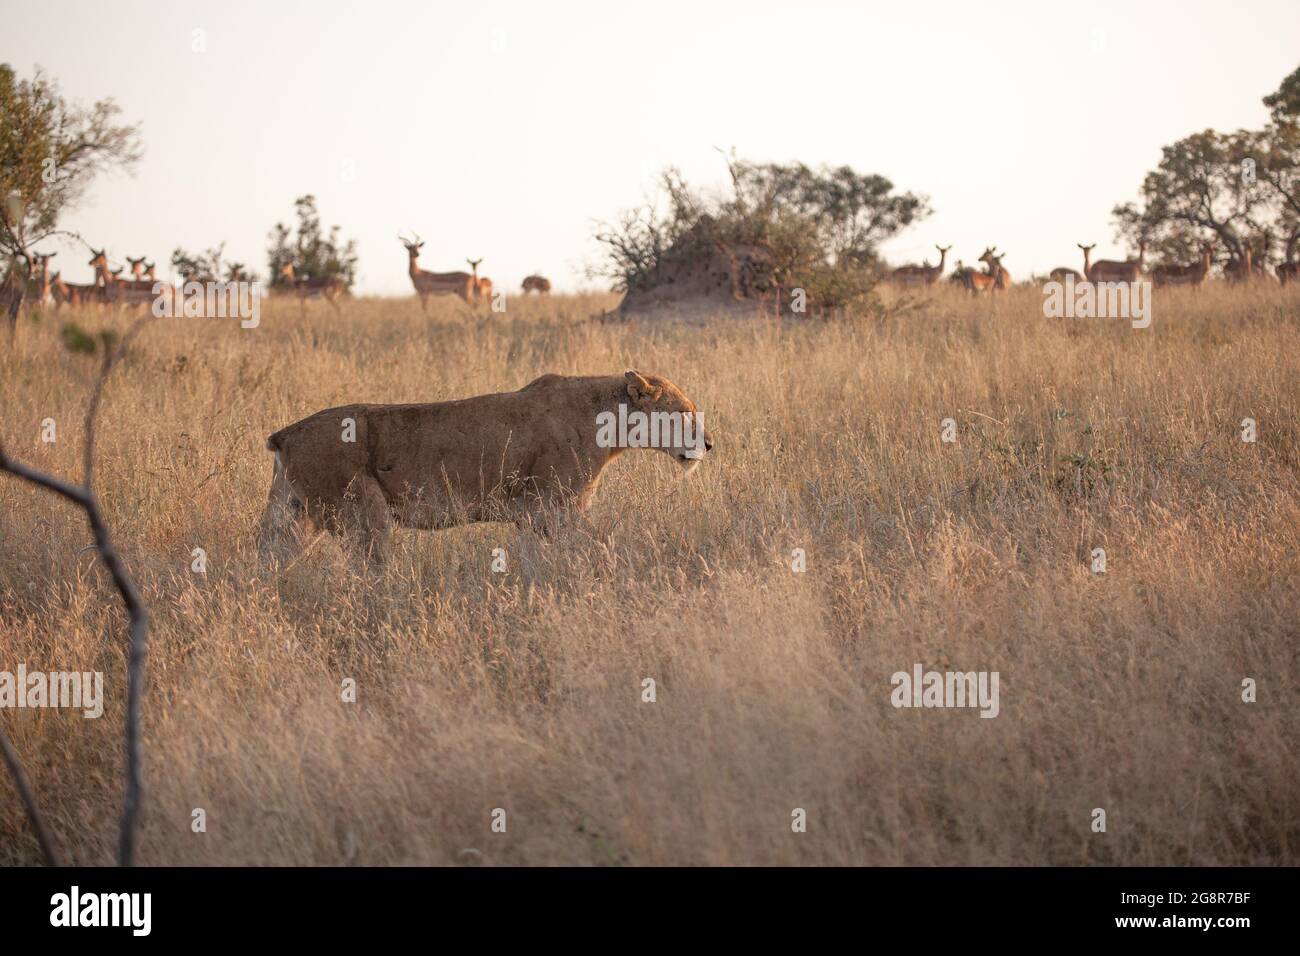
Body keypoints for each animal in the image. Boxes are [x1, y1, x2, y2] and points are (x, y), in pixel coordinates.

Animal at [256, 370, 713, 565]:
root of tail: (284, 433)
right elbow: (595, 549)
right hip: (363, 516)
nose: (709, 444)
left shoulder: (533, 517)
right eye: (684, 413)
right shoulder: (556, 509)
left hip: (291, 517)